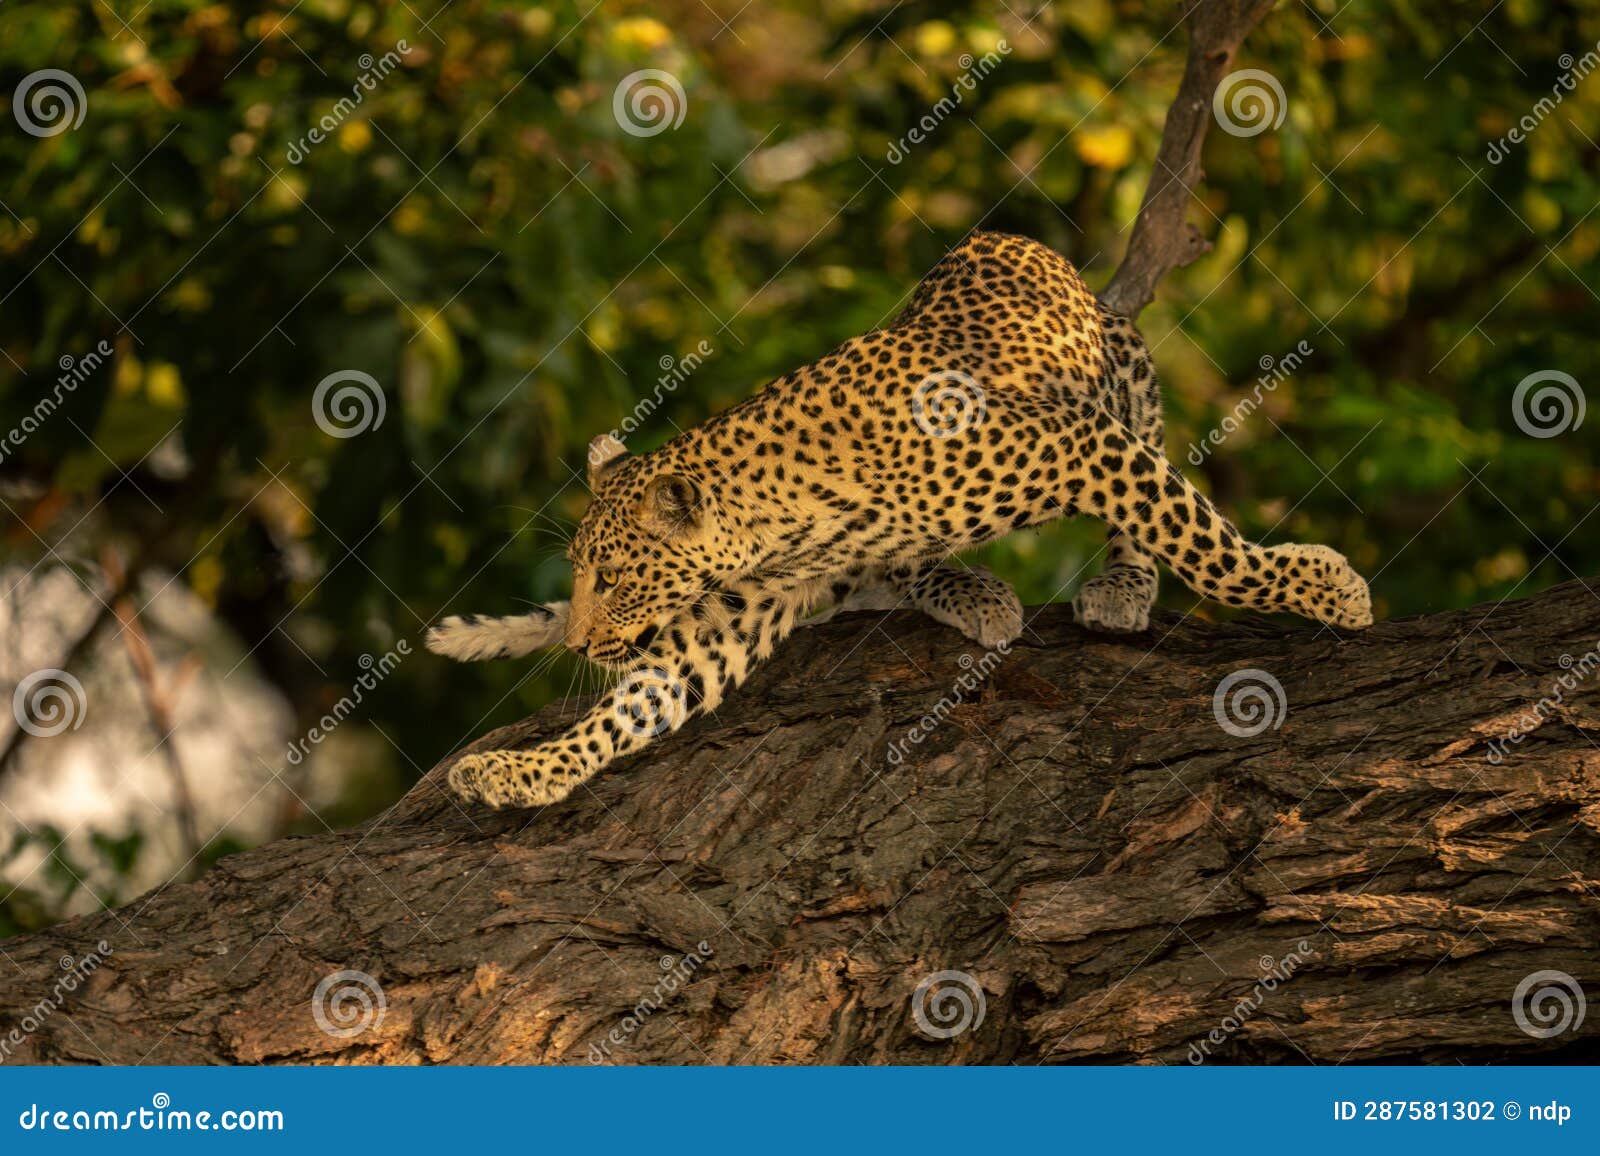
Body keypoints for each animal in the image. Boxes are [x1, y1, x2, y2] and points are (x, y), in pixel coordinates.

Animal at [428, 232, 1372, 809]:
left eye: (614, 578)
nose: (578, 644)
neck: (779, 518)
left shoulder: (1076, 445)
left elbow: (1199, 541)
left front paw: (1326, 588)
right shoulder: (739, 610)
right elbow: (638, 702)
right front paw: (521, 772)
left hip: (1127, 373)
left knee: (1144, 485)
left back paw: (1119, 586)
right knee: (906, 567)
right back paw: (969, 593)